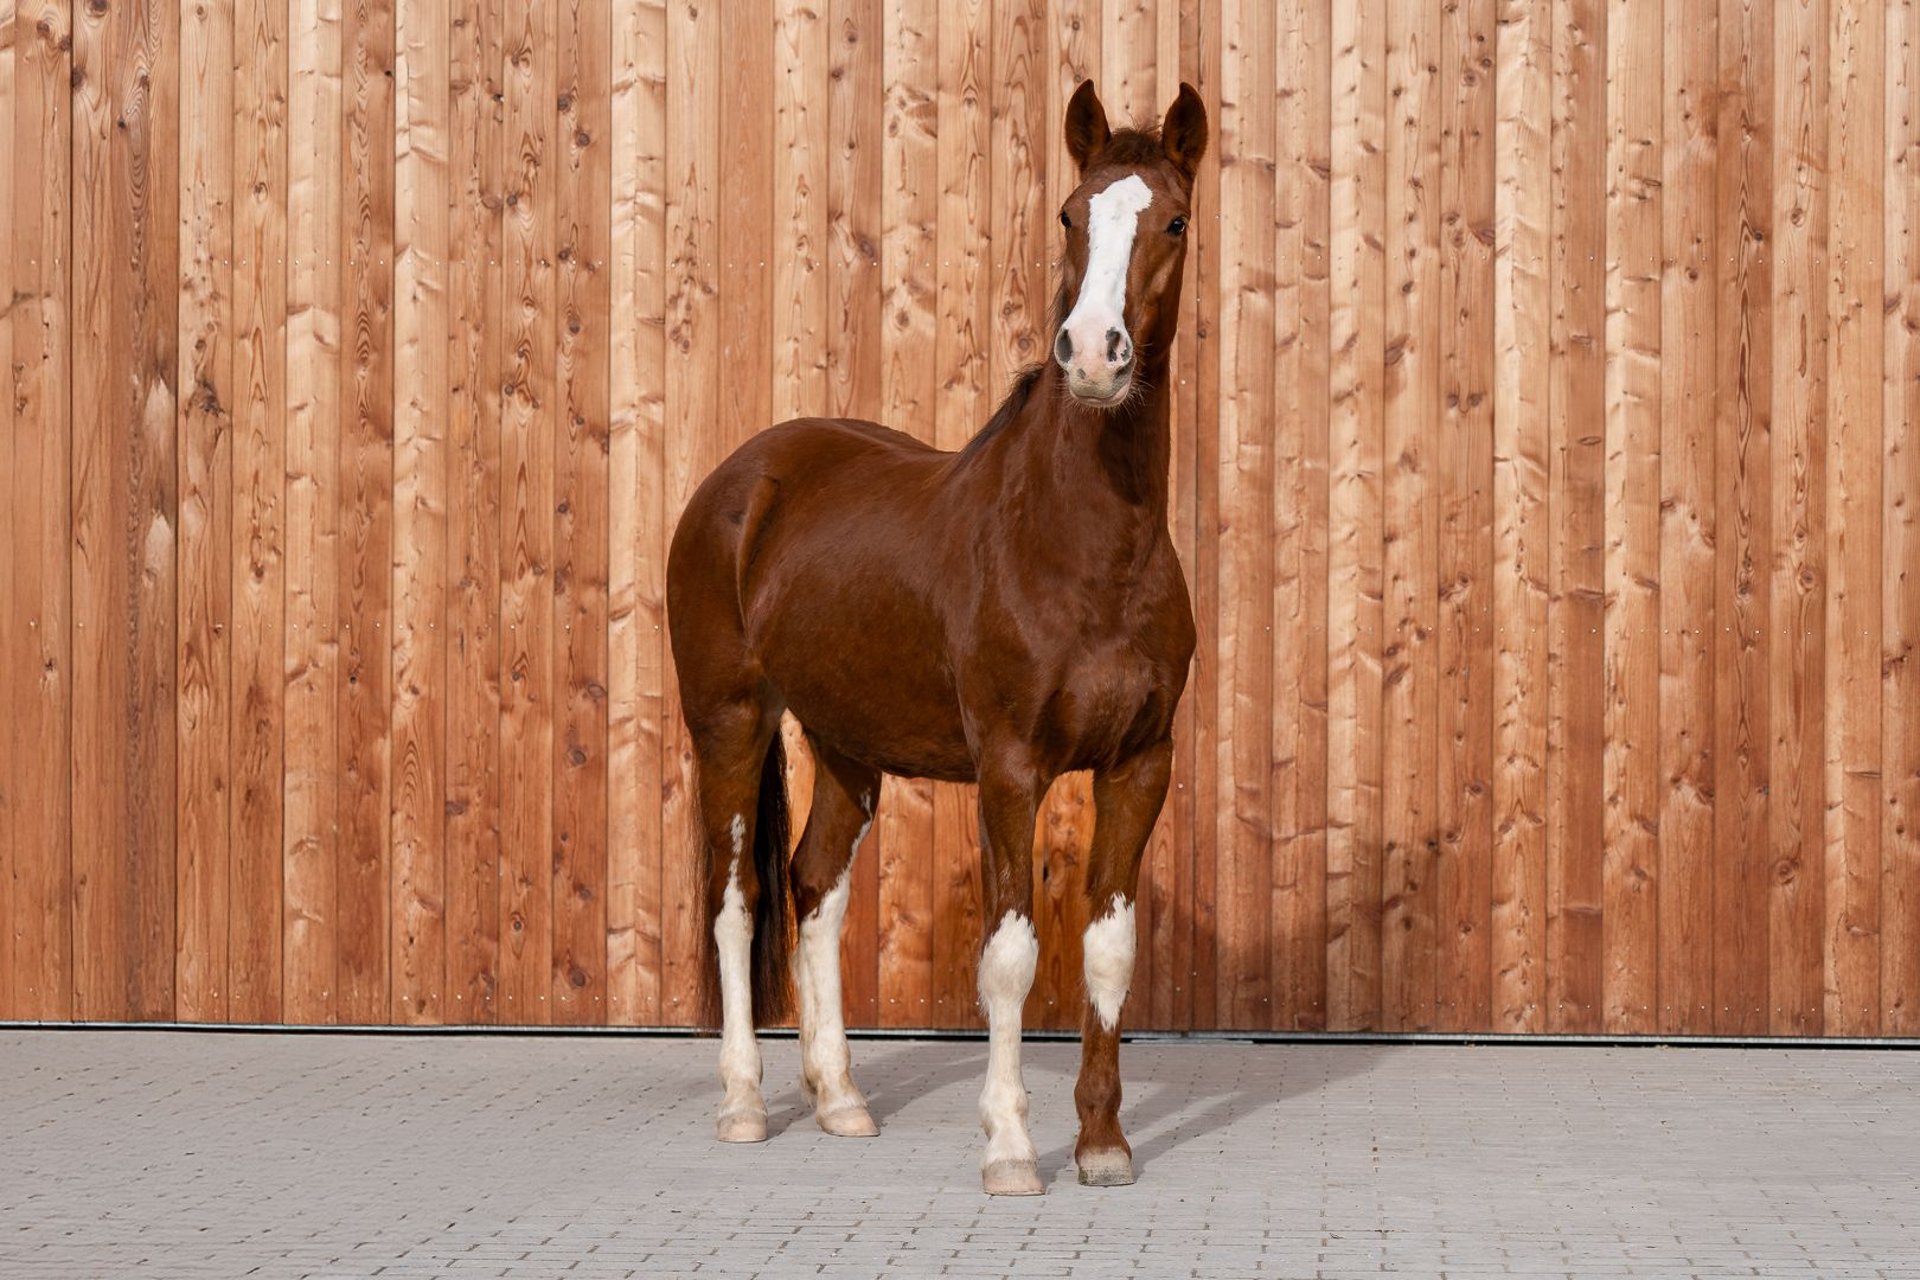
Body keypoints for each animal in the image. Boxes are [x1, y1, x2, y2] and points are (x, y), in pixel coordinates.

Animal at [665, 80, 1208, 1197]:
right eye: (1070, 216)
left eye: (1173, 222)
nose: (1094, 355)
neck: (1082, 548)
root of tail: (741, 478)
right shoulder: (1010, 766)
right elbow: (1009, 955)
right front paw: (1010, 1147)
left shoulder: (1141, 762)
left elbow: (1109, 951)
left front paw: (1103, 1145)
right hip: (729, 721)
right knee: (738, 899)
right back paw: (744, 1105)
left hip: (846, 744)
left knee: (816, 887)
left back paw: (841, 1100)